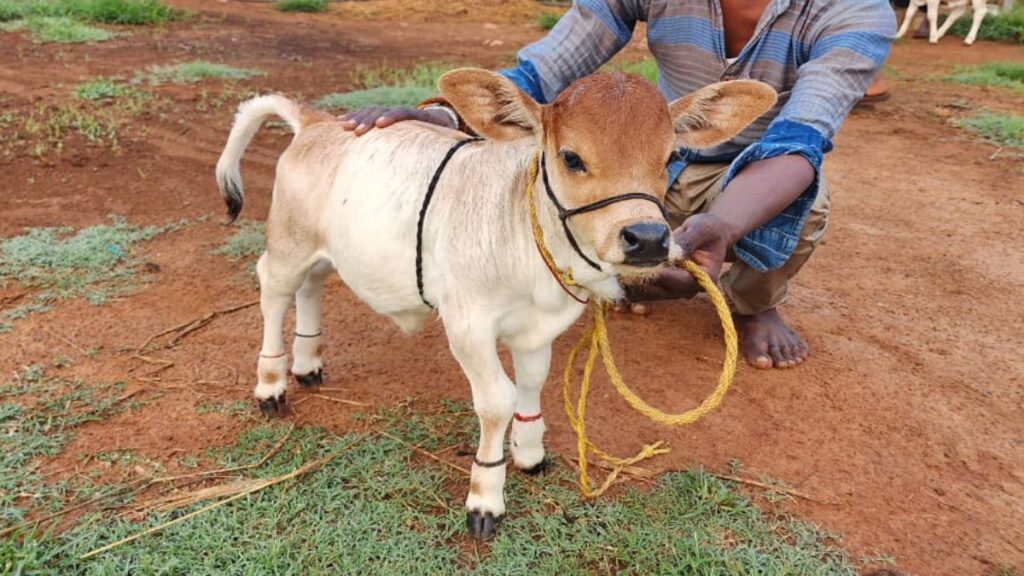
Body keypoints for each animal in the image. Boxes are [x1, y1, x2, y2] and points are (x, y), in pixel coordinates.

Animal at [214, 69, 775, 540]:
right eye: (572, 158)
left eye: (669, 159)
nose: (647, 238)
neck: (526, 246)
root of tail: (317, 122)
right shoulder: (468, 326)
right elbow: (496, 401)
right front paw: (486, 496)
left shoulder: (541, 328)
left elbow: (531, 384)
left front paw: (528, 452)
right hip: (288, 243)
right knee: (274, 291)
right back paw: (272, 383)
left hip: (324, 251)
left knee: (312, 287)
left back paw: (308, 362)